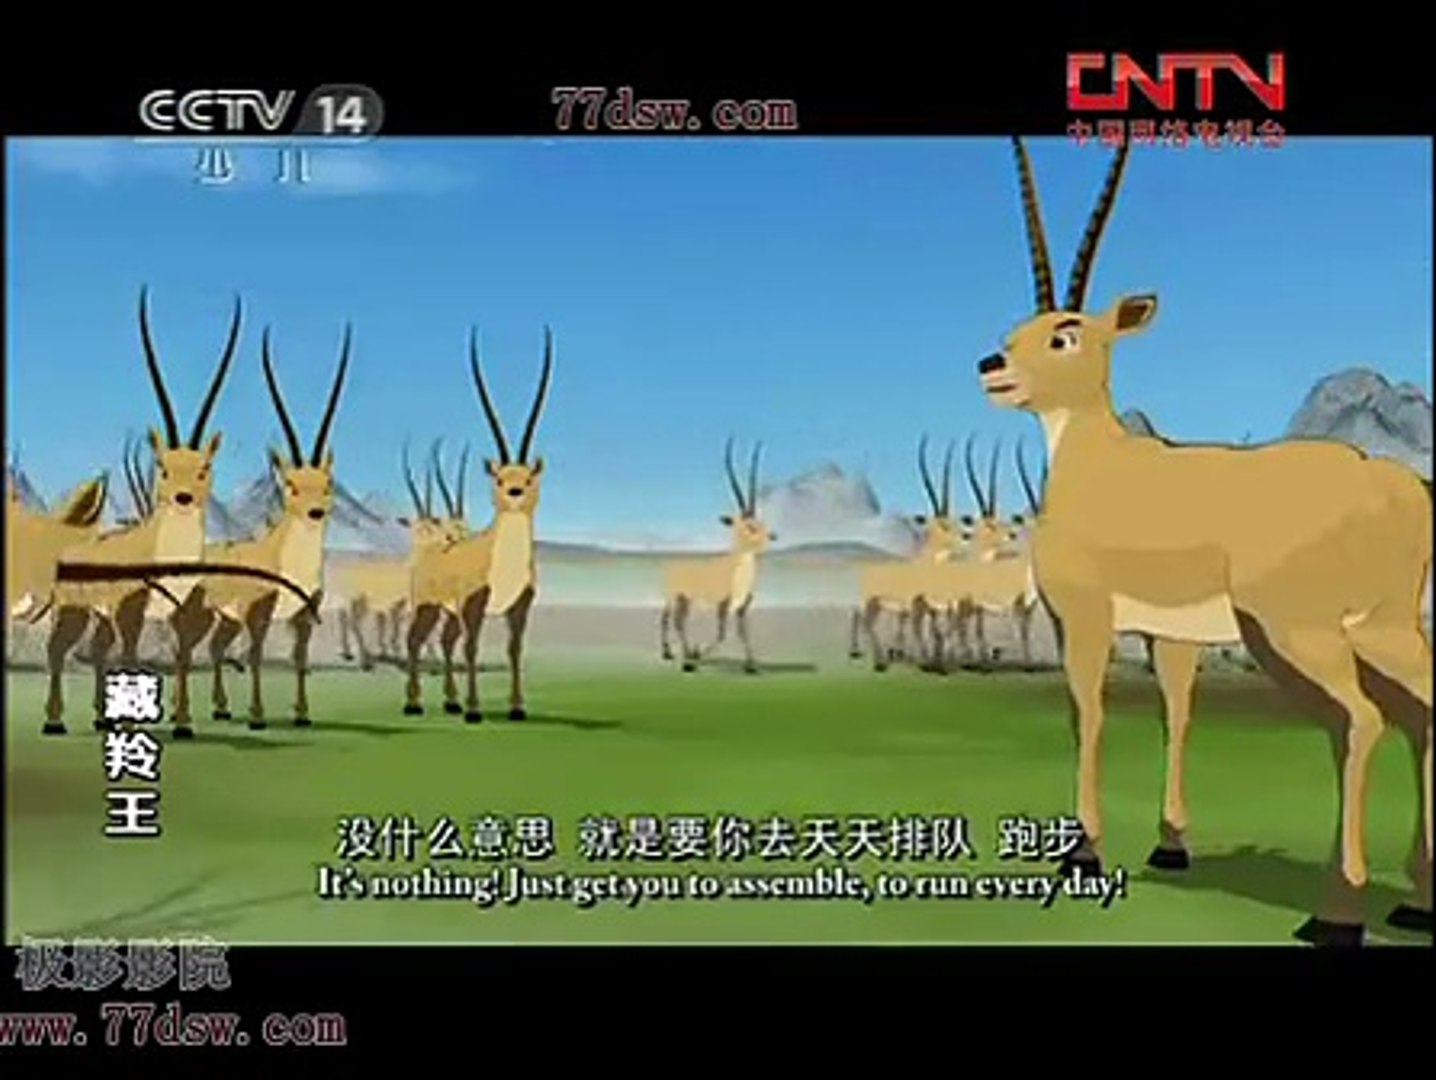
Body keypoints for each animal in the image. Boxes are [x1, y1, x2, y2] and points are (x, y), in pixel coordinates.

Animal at [202, 324, 351, 730]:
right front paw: (257, 716)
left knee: (216, 647)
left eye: (327, 484)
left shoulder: (304, 614)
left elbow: (300, 657)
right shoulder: (259, 611)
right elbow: (255, 655)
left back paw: (221, 708)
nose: (316, 512)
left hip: (228, 619)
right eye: (292, 485)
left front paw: (302, 714)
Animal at [403, 325, 553, 721]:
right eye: (499, 478)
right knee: (415, 639)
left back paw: (450, 702)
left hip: (448, 612)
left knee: (444, 640)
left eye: (528, 478)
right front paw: (474, 710)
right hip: (427, 605)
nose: (515, 491)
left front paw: (517, 708)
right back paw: (414, 704)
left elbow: (514, 649)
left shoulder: (520, 605)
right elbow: (472, 647)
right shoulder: (474, 602)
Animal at [660, 438, 774, 674]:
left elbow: (742, 631)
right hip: (676, 597)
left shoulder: (742, 607)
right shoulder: (723, 604)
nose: (772, 536)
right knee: (672, 621)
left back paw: (677, 653)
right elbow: (721, 633)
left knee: (674, 619)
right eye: (748, 526)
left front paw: (751, 665)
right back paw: (681, 657)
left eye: (759, 522)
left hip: (684, 600)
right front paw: (696, 657)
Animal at [850, 436, 960, 671]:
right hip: (870, 602)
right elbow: (917, 630)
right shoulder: (914, 606)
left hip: (875, 604)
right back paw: (878, 660)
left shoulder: (927, 608)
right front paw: (926, 662)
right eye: (938, 527)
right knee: (864, 621)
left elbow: (934, 630)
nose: (956, 545)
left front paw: (936, 661)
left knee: (861, 619)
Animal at [977, 135, 1432, 945]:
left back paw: (1336, 915)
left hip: (1295, 632)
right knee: (1421, 713)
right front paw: (1170, 844)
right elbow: (1177, 713)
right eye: (1015, 333)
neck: (1101, 465)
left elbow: (1087, 712)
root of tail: (1392, 484)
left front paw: (1082, 855)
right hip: (1382, 629)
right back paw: (1416, 900)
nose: (991, 368)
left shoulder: (1085, 618)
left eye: (1067, 332)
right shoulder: (1173, 634)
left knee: (1359, 721)